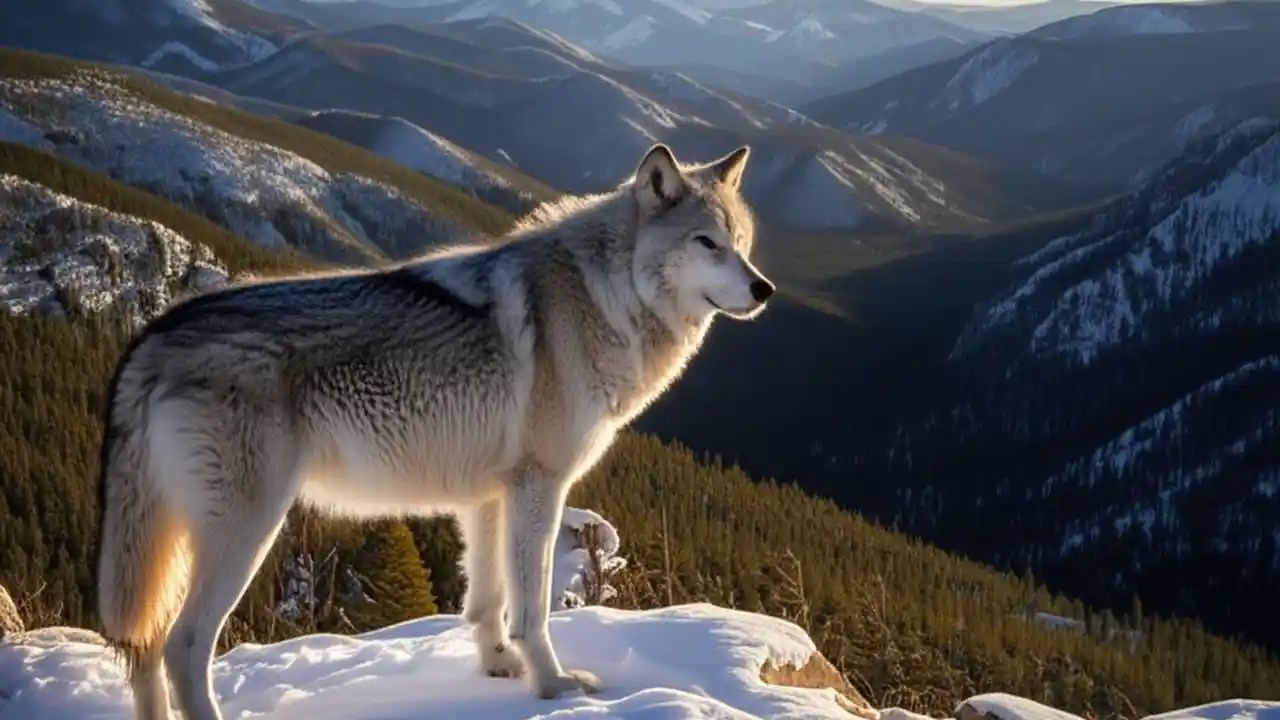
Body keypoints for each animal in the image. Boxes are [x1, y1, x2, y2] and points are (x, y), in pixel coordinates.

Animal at [96, 143, 774, 720]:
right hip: (246, 532)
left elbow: (487, 602)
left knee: (146, 649)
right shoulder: (540, 486)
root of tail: (151, 336)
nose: (764, 288)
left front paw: (498, 670)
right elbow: (533, 608)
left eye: (742, 243)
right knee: (182, 646)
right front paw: (554, 686)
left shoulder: (490, 497)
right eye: (707, 243)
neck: (604, 295)